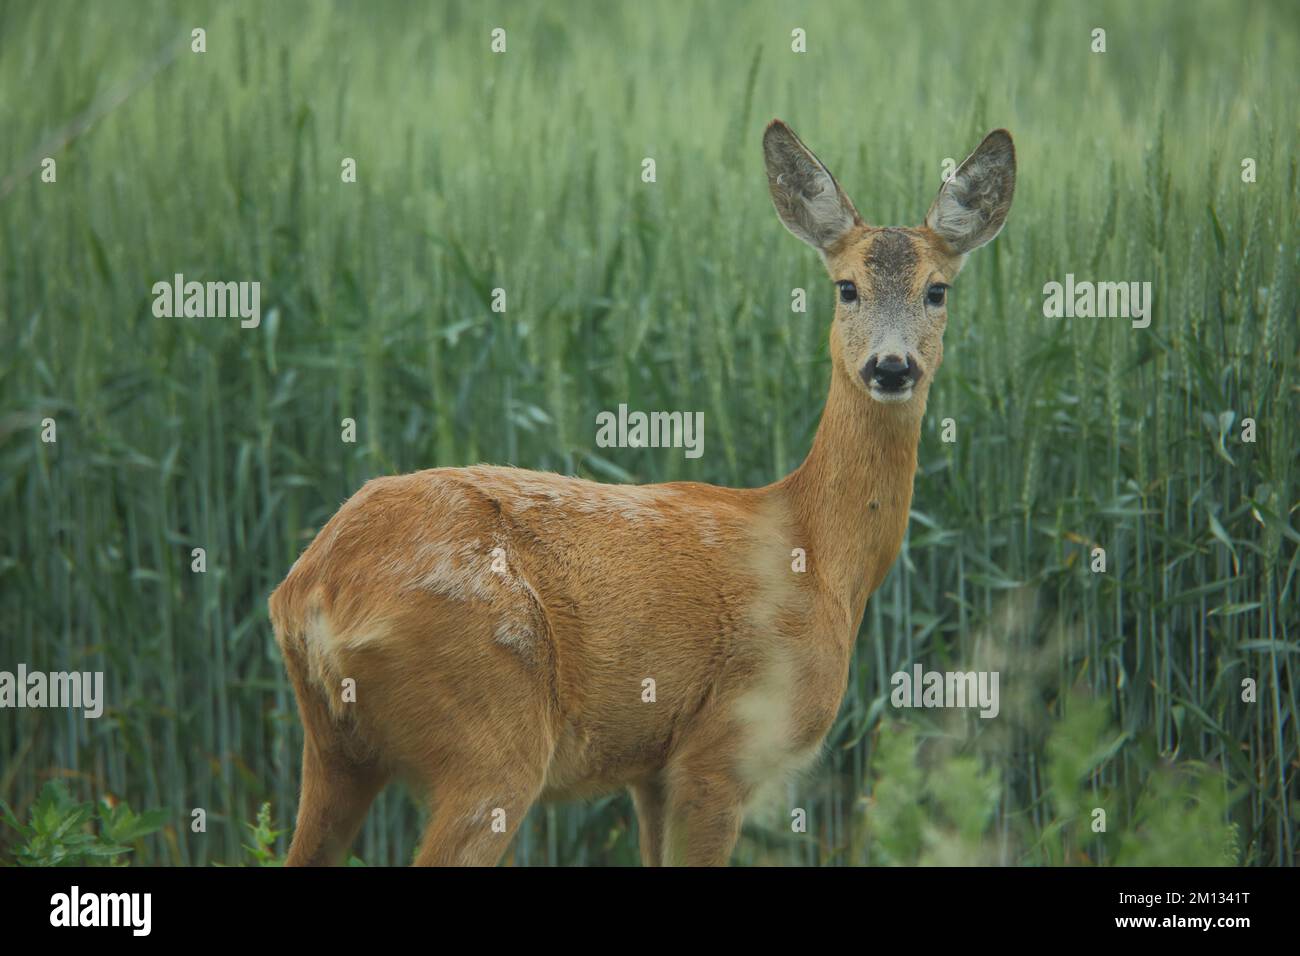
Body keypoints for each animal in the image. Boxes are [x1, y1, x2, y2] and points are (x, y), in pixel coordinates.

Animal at [268, 120, 1016, 866]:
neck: (822, 555)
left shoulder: (651, 771)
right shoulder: (721, 749)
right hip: (489, 730)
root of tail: (312, 590)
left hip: (336, 751)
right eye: (847, 287)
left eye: (938, 290)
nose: (891, 366)